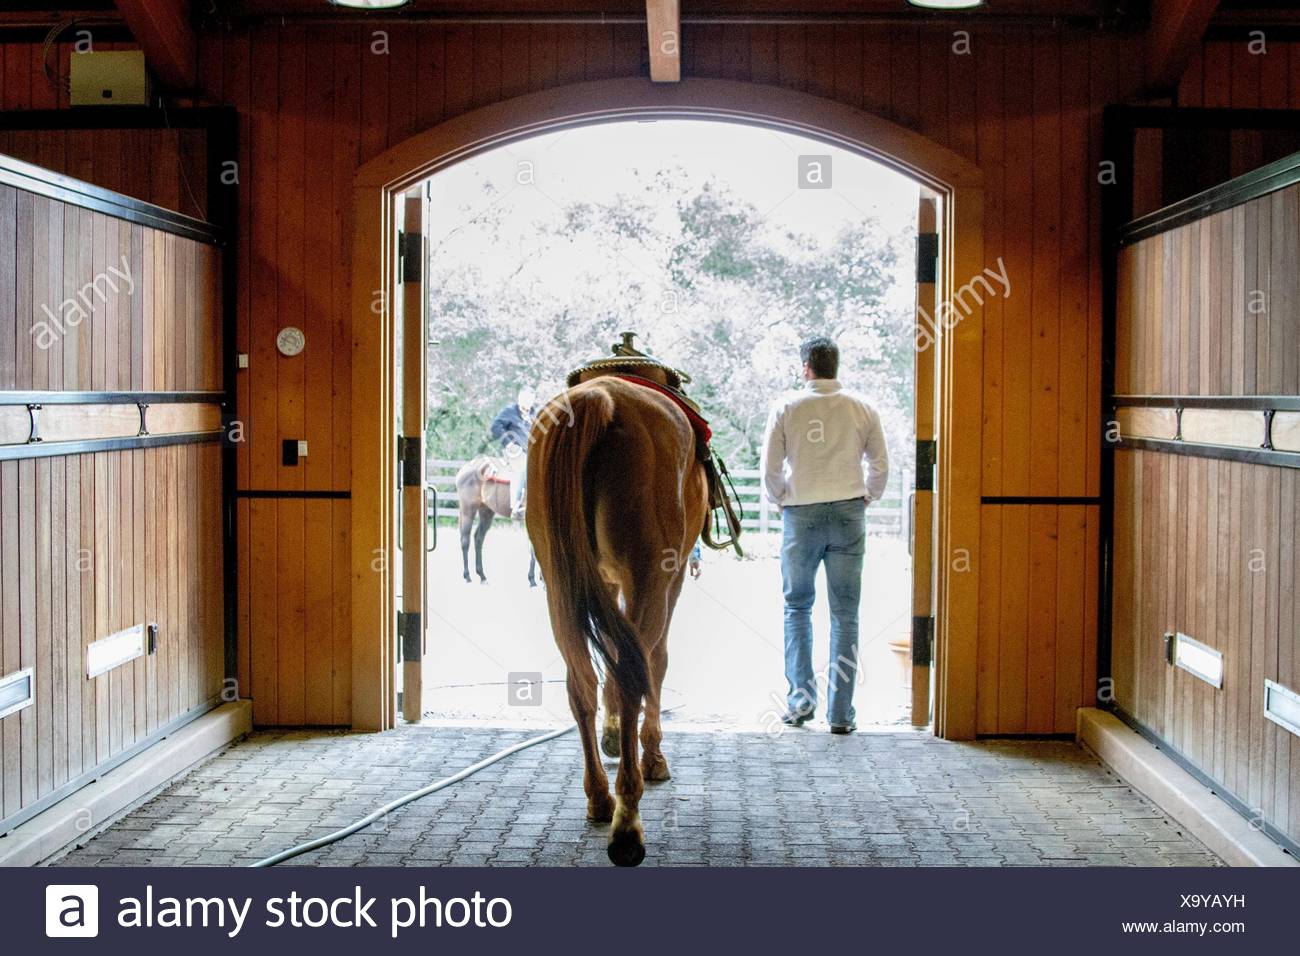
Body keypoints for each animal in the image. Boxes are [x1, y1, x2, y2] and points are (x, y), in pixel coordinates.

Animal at [454, 456, 537, 587]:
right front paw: (533, 580)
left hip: (486, 512)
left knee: (478, 538)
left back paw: (482, 576)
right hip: (468, 511)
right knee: (465, 540)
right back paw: (468, 576)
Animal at [525, 374, 709, 867]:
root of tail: (600, 399)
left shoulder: (601, 582)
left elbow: (609, 654)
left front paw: (610, 736)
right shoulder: (669, 579)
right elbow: (655, 660)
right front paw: (654, 754)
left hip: (560, 583)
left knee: (581, 681)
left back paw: (599, 797)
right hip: (649, 576)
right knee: (633, 673)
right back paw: (627, 821)